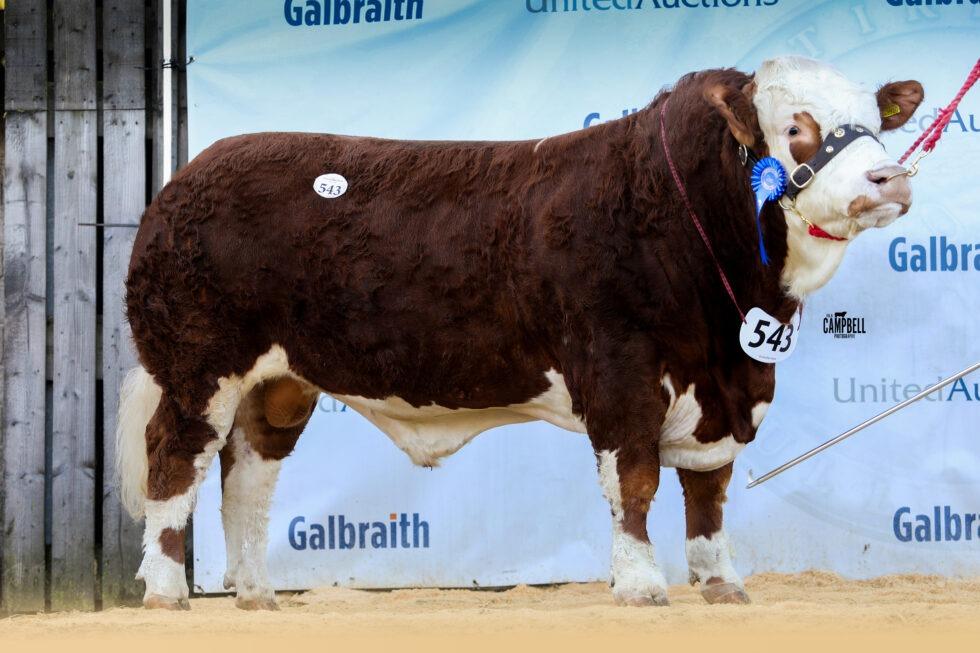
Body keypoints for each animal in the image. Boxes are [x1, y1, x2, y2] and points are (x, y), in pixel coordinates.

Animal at [116, 56, 923, 610]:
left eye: (878, 121)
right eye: (795, 128)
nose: (889, 178)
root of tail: (186, 179)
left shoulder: (726, 389)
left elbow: (709, 488)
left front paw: (721, 583)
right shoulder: (620, 372)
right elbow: (634, 479)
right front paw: (640, 584)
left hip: (279, 383)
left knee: (248, 474)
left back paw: (256, 594)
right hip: (198, 367)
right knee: (176, 460)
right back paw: (166, 589)